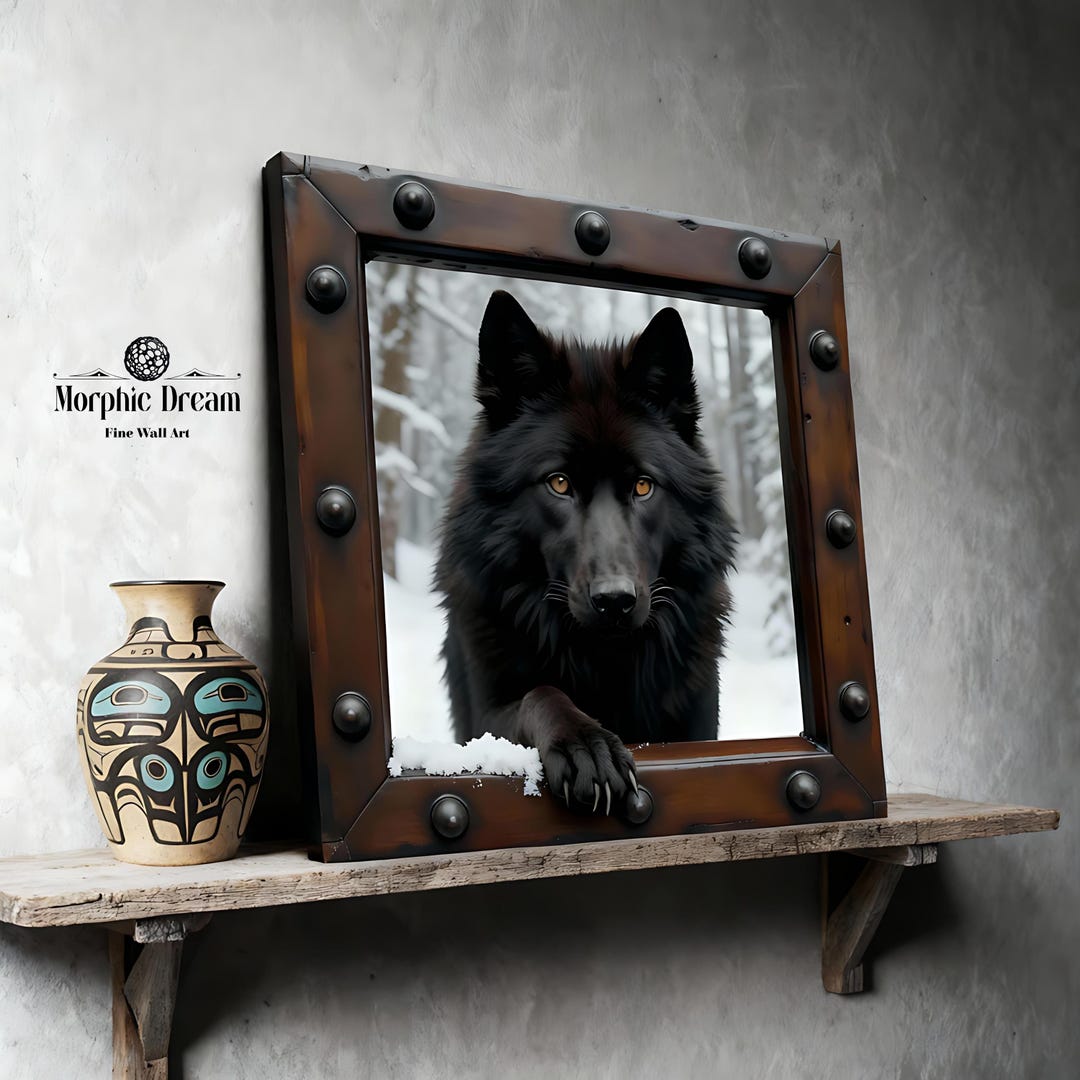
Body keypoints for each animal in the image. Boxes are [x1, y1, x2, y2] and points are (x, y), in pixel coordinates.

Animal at [435, 290, 737, 814]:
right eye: (559, 483)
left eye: (643, 485)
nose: (615, 601)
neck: (603, 661)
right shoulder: (483, 720)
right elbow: (542, 692)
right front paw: (586, 746)